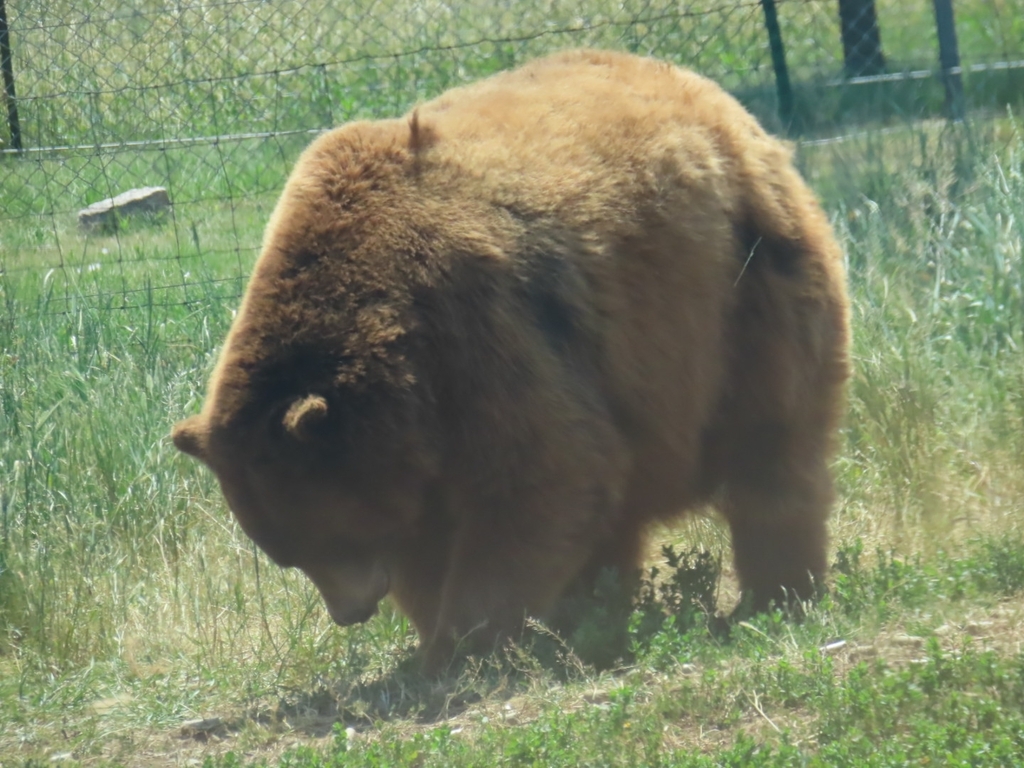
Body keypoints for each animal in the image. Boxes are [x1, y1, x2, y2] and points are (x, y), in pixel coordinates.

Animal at [171, 48, 850, 672]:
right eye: (283, 553)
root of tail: (718, 100)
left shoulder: (476, 325)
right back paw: (602, 610)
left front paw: (463, 639)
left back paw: (777, 590)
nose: (350, 612)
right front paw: (442, 632)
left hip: (742, 292)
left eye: (324, 536)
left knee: (771, 444)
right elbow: (439, 526)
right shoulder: (418, 428)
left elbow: (542, 472)